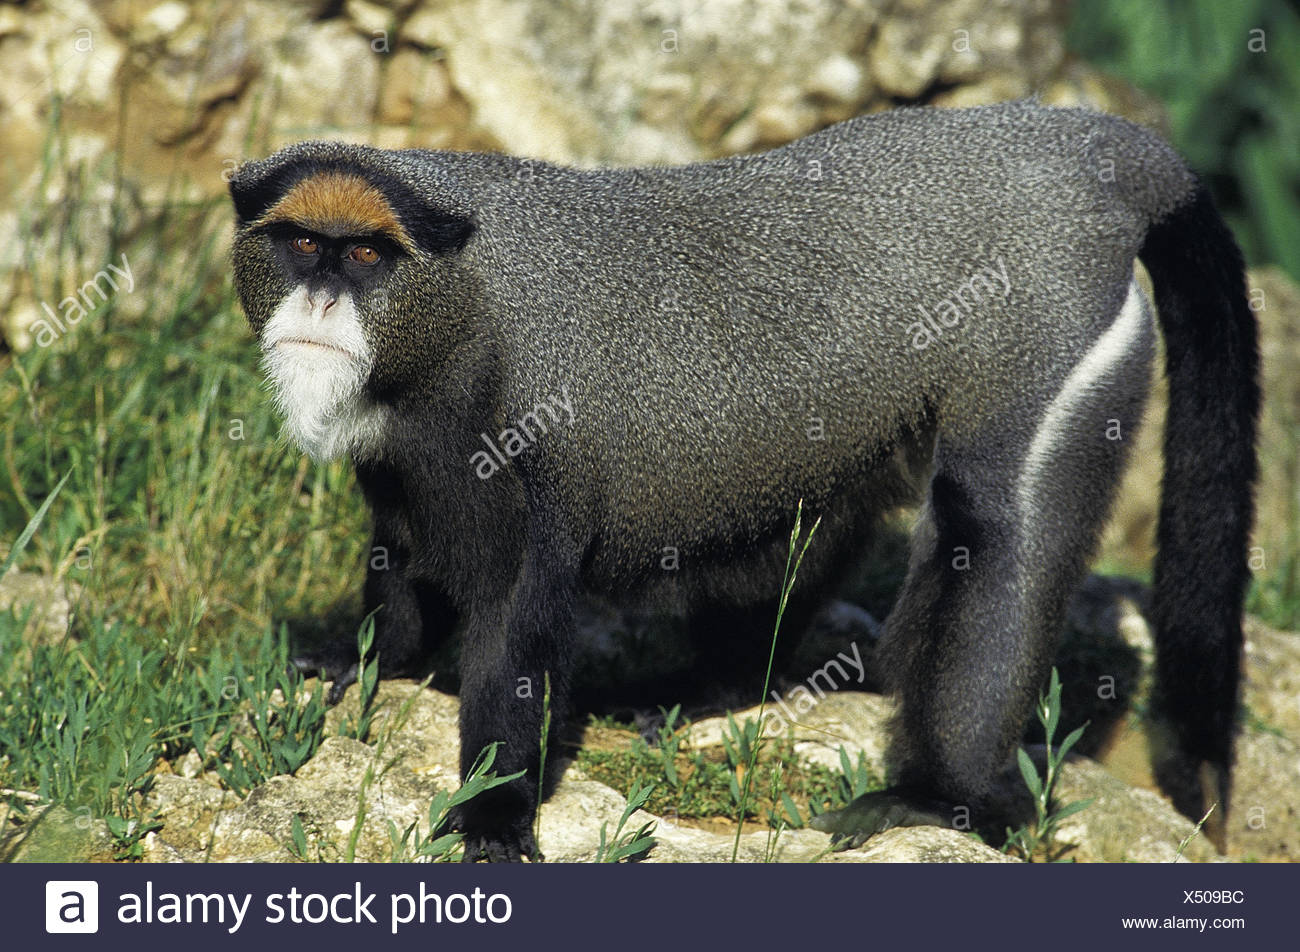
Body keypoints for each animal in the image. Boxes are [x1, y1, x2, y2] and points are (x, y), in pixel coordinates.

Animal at [228, 100, 1258, 861]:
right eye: (301, 243)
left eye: (366, 255)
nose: (319, 297)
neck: (455, 311)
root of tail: (1091, 149)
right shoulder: (407, 473)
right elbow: (403, 572)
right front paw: (356, 662)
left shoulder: (533, 454)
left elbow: (514, 629)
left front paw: (491, 815)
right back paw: (708, 691)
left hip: (1050, 356)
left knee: (994, 537)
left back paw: (944, 798)